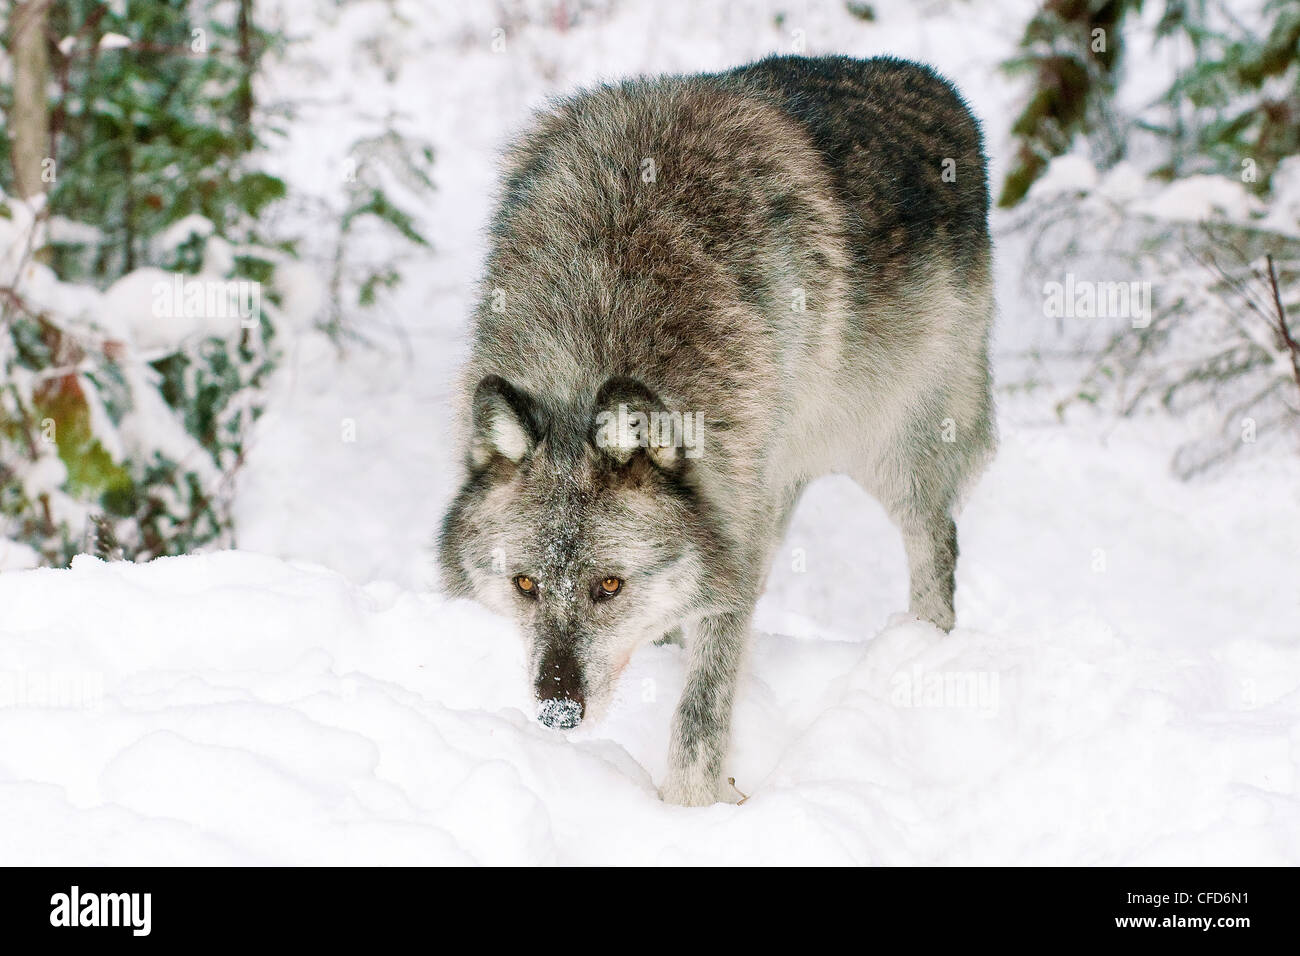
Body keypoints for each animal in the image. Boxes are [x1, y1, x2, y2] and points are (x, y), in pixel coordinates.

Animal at [439, 54, 995, 806]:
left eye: (608, 586)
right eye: (524, 585)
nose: (557, 712)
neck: (606, 307)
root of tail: (936, 85)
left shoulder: (736, 513)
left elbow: (704, 702)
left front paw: (690, 806)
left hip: (893, 453)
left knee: (934, 544)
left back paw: (922, 654)